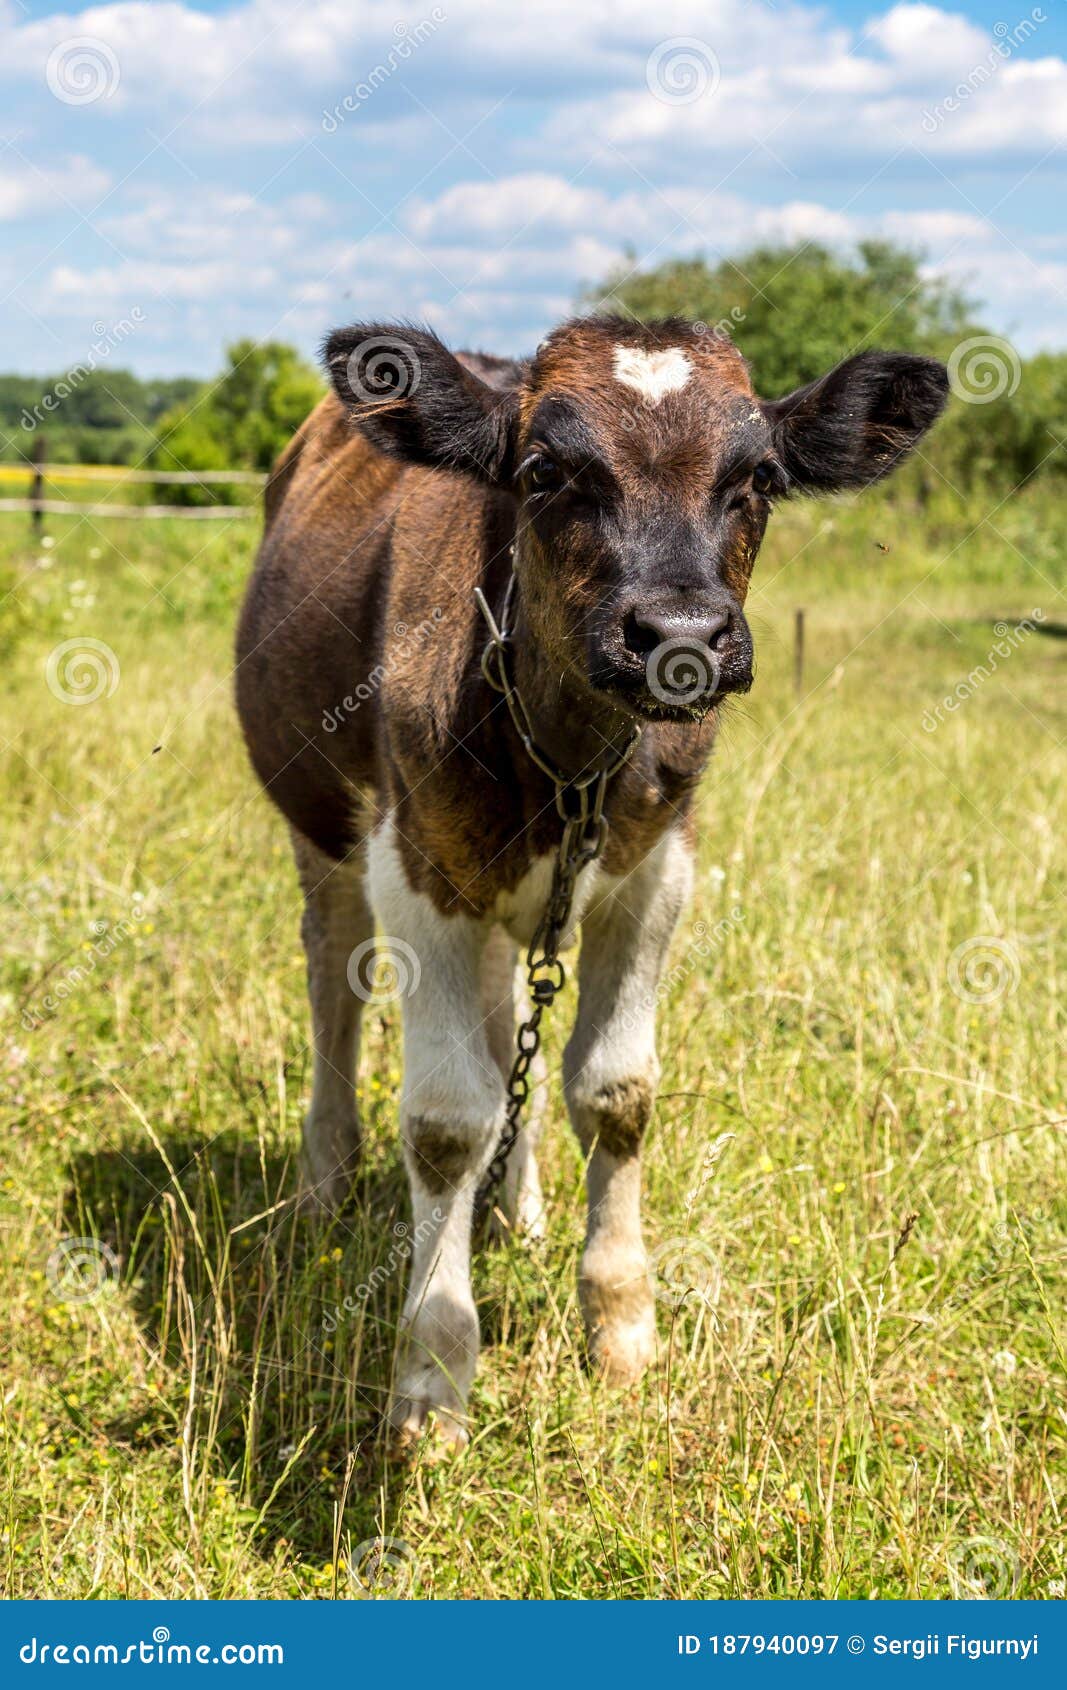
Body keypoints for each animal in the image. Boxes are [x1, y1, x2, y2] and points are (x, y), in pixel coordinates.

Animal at [235, 314, 947, 1452]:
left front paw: (620, 1326)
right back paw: (324, 1181)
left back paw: (513, 1208)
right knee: (333, 989)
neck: (563, 751)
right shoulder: (413, 858)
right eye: (543, 471)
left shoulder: (656, 867)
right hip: (325, 833)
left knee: (502, 1026)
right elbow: (443, 1119)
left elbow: (612, 1090)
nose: (681, 638)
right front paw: (433, 1367)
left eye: (756, 477)